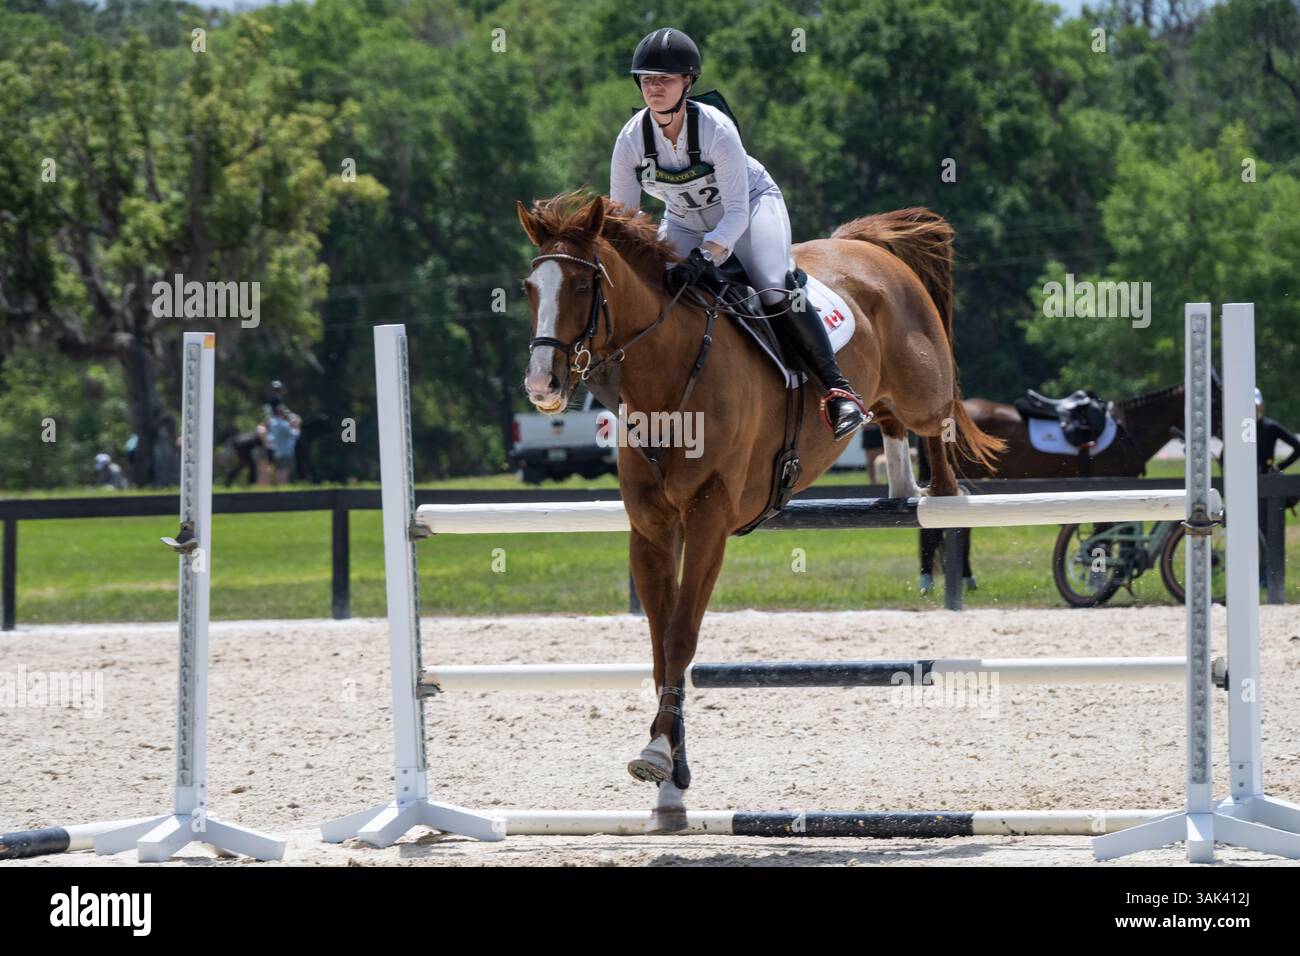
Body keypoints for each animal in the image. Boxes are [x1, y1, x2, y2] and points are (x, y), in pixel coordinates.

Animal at [516, 189, 1002, 829]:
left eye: (579, 286)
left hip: (922, 384)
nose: (541, 386)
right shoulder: (651, 530)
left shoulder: (708, 520)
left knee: (938, 417)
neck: (668, 380)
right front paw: (669, 783)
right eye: (529, 287)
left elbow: (680, 638)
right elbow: (660, 647)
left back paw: (943, 495)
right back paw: (901, 483)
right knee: (891, 423)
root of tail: (863, 245)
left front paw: (657, 756)